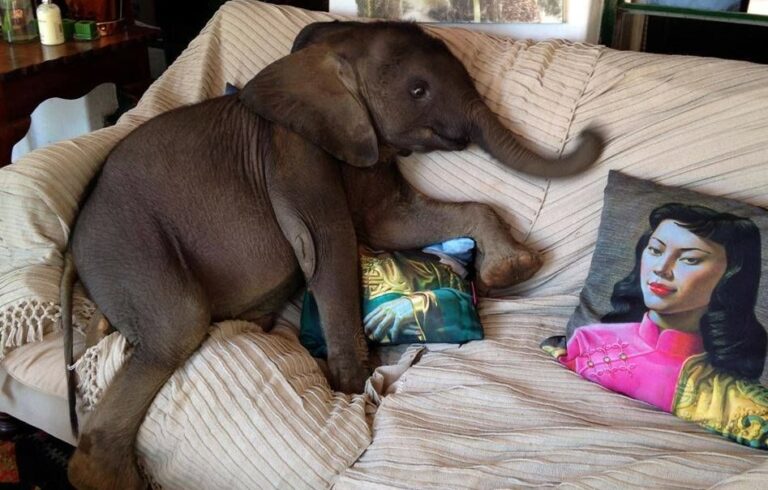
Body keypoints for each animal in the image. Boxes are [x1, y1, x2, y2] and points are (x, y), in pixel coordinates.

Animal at [63, 20, 604, 489]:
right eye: (418, 90)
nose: (592, 133)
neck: (317, 59)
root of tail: (74, 244)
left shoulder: (360, 142)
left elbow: (390, 221)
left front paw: (512, 270)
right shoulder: (295, 151)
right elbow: (332, 245)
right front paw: (355, 384)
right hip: (126, 241)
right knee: (177, 327)